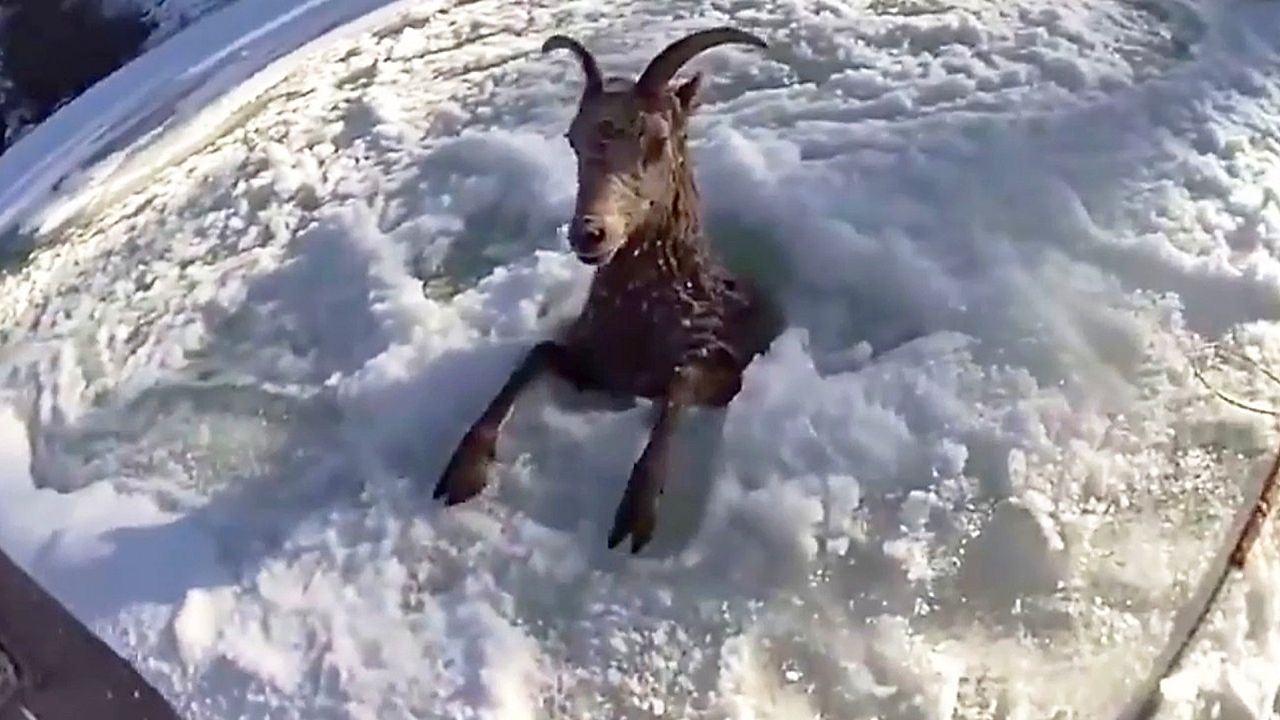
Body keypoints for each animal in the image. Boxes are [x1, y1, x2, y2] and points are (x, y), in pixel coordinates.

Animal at [434, 27, 782, 553]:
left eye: (659, 139)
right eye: (573, 139)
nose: (589, 234)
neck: (643, 318)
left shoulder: (721, 368)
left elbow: (679, 385)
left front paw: (635, 516)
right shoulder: (596, 368)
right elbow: (536, 354)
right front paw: (462, 472)